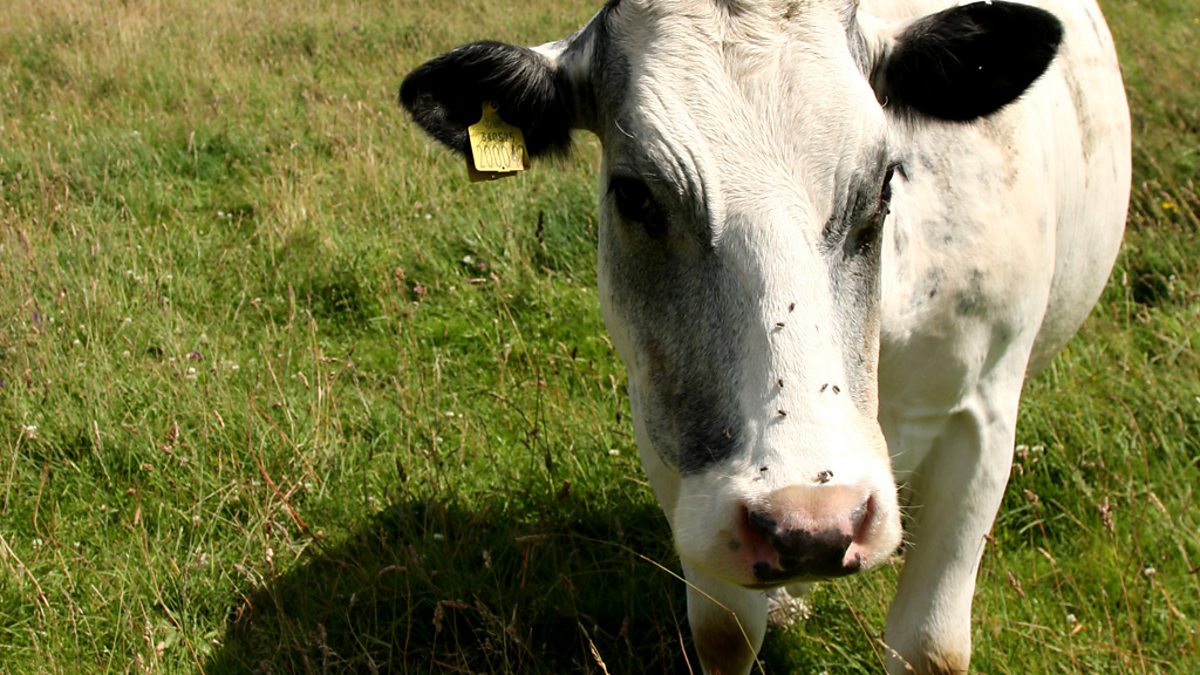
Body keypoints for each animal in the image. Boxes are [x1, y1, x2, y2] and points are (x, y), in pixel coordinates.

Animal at [398, 0, 1131, 672]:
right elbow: (727, 633)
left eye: (883, 186)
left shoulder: (981, 415)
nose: (813, 521)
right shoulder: (675, 441)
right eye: (634, 194)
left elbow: (929, 646)